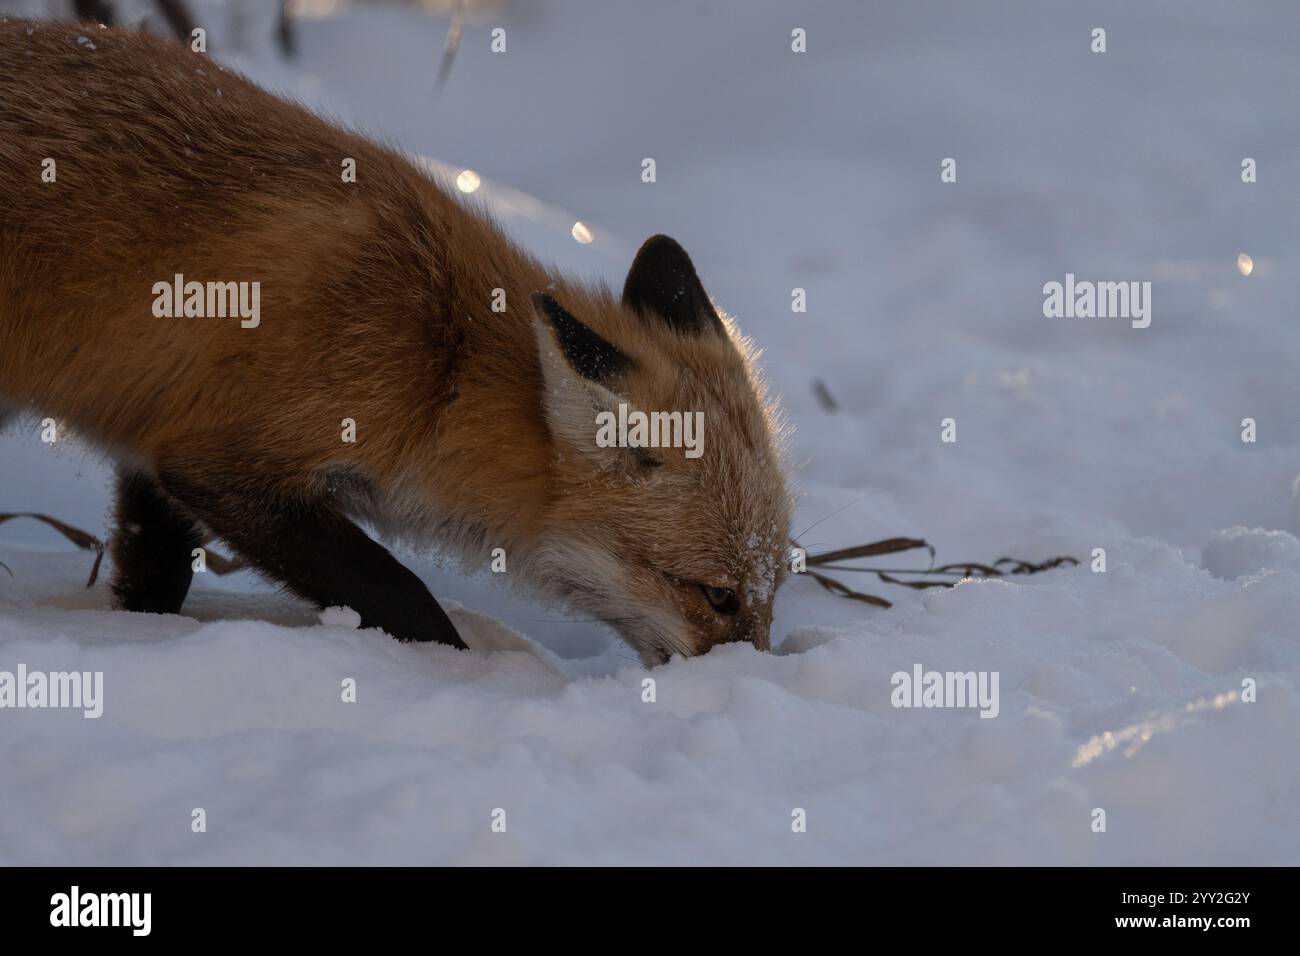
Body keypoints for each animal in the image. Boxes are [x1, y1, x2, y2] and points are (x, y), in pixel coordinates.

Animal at [0, 19, 793, 665]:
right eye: (717, 595)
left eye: (774, 588)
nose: (750, 678)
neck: (443, 367)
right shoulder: (219, 461)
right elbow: (405, 595)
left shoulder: (153, 443)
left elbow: (153, 578)